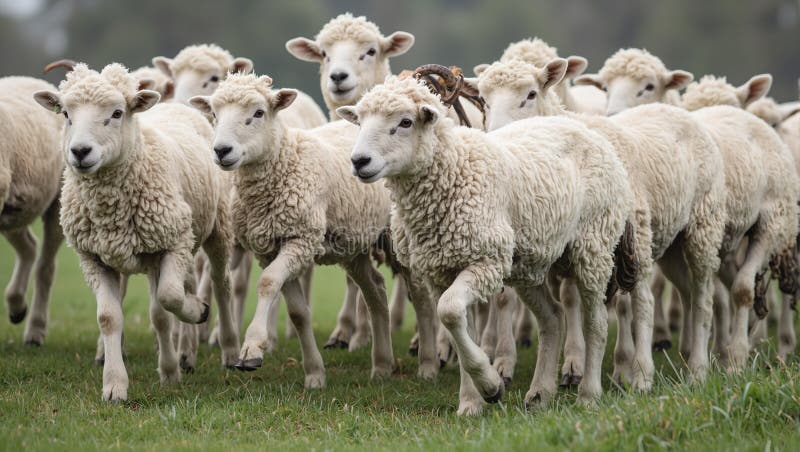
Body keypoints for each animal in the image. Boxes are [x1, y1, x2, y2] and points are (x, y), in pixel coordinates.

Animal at [32, 63, 239, 401]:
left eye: (117, 113)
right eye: (65, 113)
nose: (80, 151)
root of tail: (176, 105)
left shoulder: (173, 244)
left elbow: (167, 302)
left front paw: (173, 363)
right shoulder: (94, 258)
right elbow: (110, 318)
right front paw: (115, 385)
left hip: (215, 230)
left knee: (221, 285)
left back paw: (230, 349)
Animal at [189, 73, 442, 385]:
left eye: (258, 113)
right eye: (214, 114)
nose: (222, 150)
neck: (286, 161)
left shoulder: (300, 239)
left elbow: (267, 283)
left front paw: (252, 349)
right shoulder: (271, 247)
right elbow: (298, 313)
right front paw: (315, 374)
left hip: (397, 238)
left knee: (420, 296)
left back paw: (428, 365)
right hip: (353, 244)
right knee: (375, 291)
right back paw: (382, 366)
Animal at [338, 75, 635, 415]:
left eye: (405, 122)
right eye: (360, 121)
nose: (359, 161)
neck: (454, 171)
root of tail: (587, 129)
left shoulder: (485, 261)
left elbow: (449, 311)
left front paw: (490, 383)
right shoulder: (439, 271)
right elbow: (454, 322)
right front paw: (473, 401)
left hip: (594, 244)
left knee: (595, 323)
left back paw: (589, 394)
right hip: (528, 262)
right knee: (553, 318)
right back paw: (540, 394)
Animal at [464, 58, 728, 385]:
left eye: (531, 94)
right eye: (483, 100)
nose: (498, 137)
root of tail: (674, 110)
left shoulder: (627, 236)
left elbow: (635, 304)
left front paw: (633, 371)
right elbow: (550, 300)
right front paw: (513, 364)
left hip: (701, 222)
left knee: (701, 296)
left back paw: (697, 369)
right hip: (670, 242)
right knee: (688, 292)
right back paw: (688, 352)